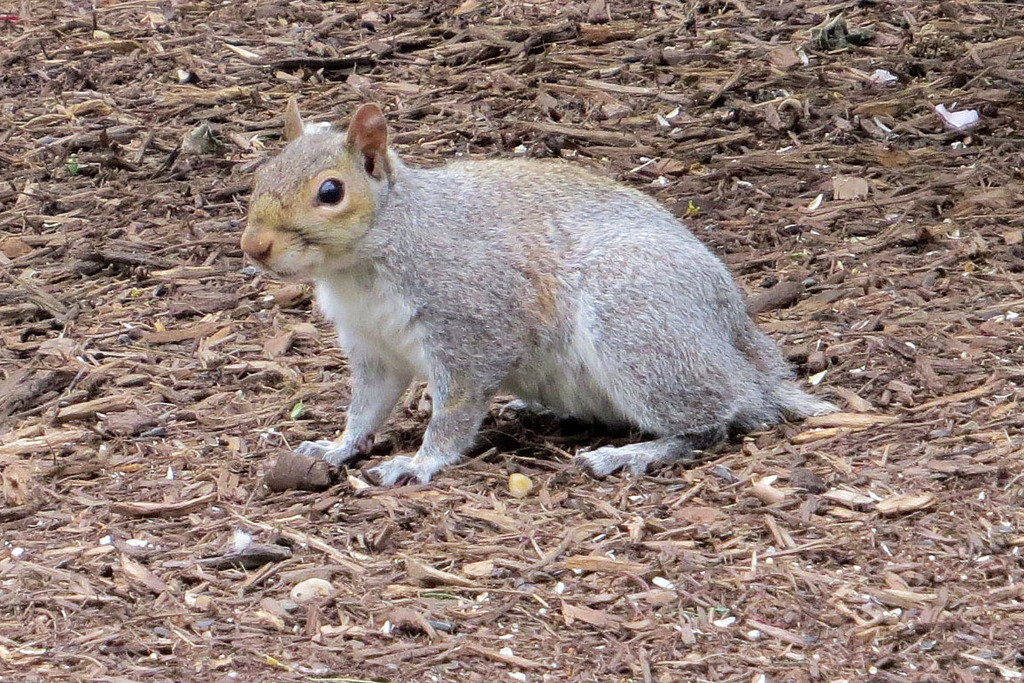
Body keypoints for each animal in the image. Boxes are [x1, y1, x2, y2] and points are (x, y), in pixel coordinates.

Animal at [241, 100, 836, 486]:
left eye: (331, 192)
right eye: (260, 175)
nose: (254, 246)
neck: (359, 268)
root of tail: (739, 341)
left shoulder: (474, 322)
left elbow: (455, 408)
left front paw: (419, 462)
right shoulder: (372, 346)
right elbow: (367, 406)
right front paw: (338, 445)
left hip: (638, 331)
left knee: (719, 416)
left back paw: (635, 453)